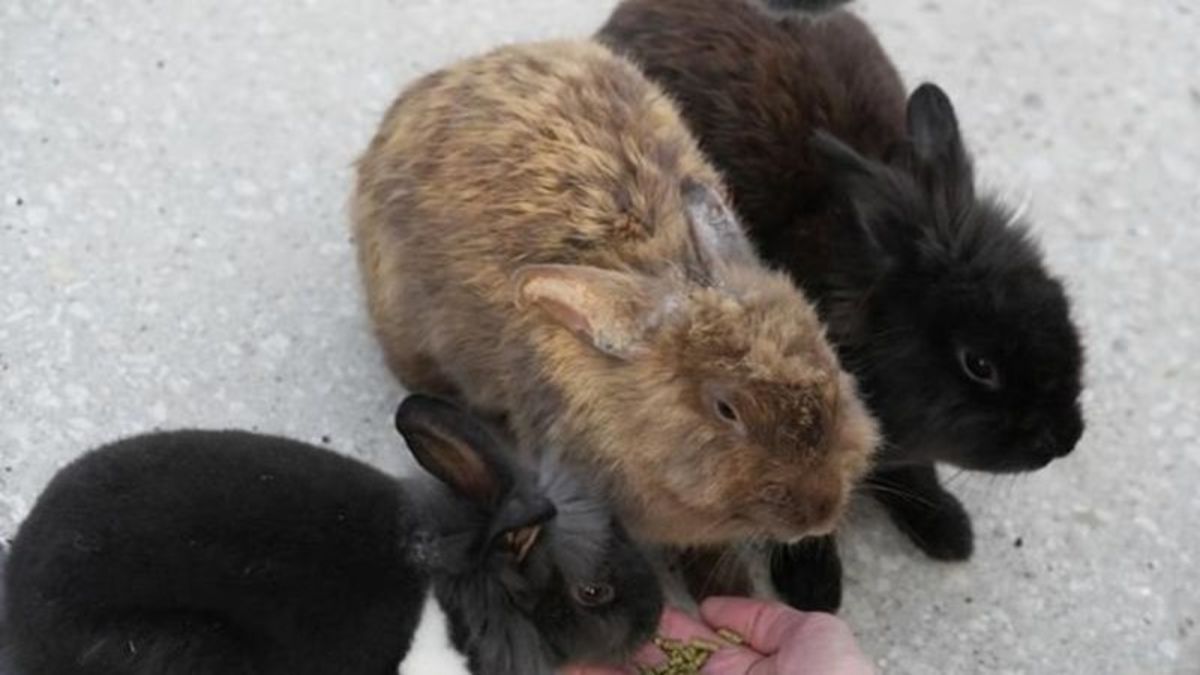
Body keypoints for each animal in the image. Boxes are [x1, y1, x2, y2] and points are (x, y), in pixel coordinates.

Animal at [598, 0, 1085, 612]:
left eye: (1059, 300)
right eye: (979, 364)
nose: (1065, 441)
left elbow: (915, 471)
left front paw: (947, 530)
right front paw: (815, 589)